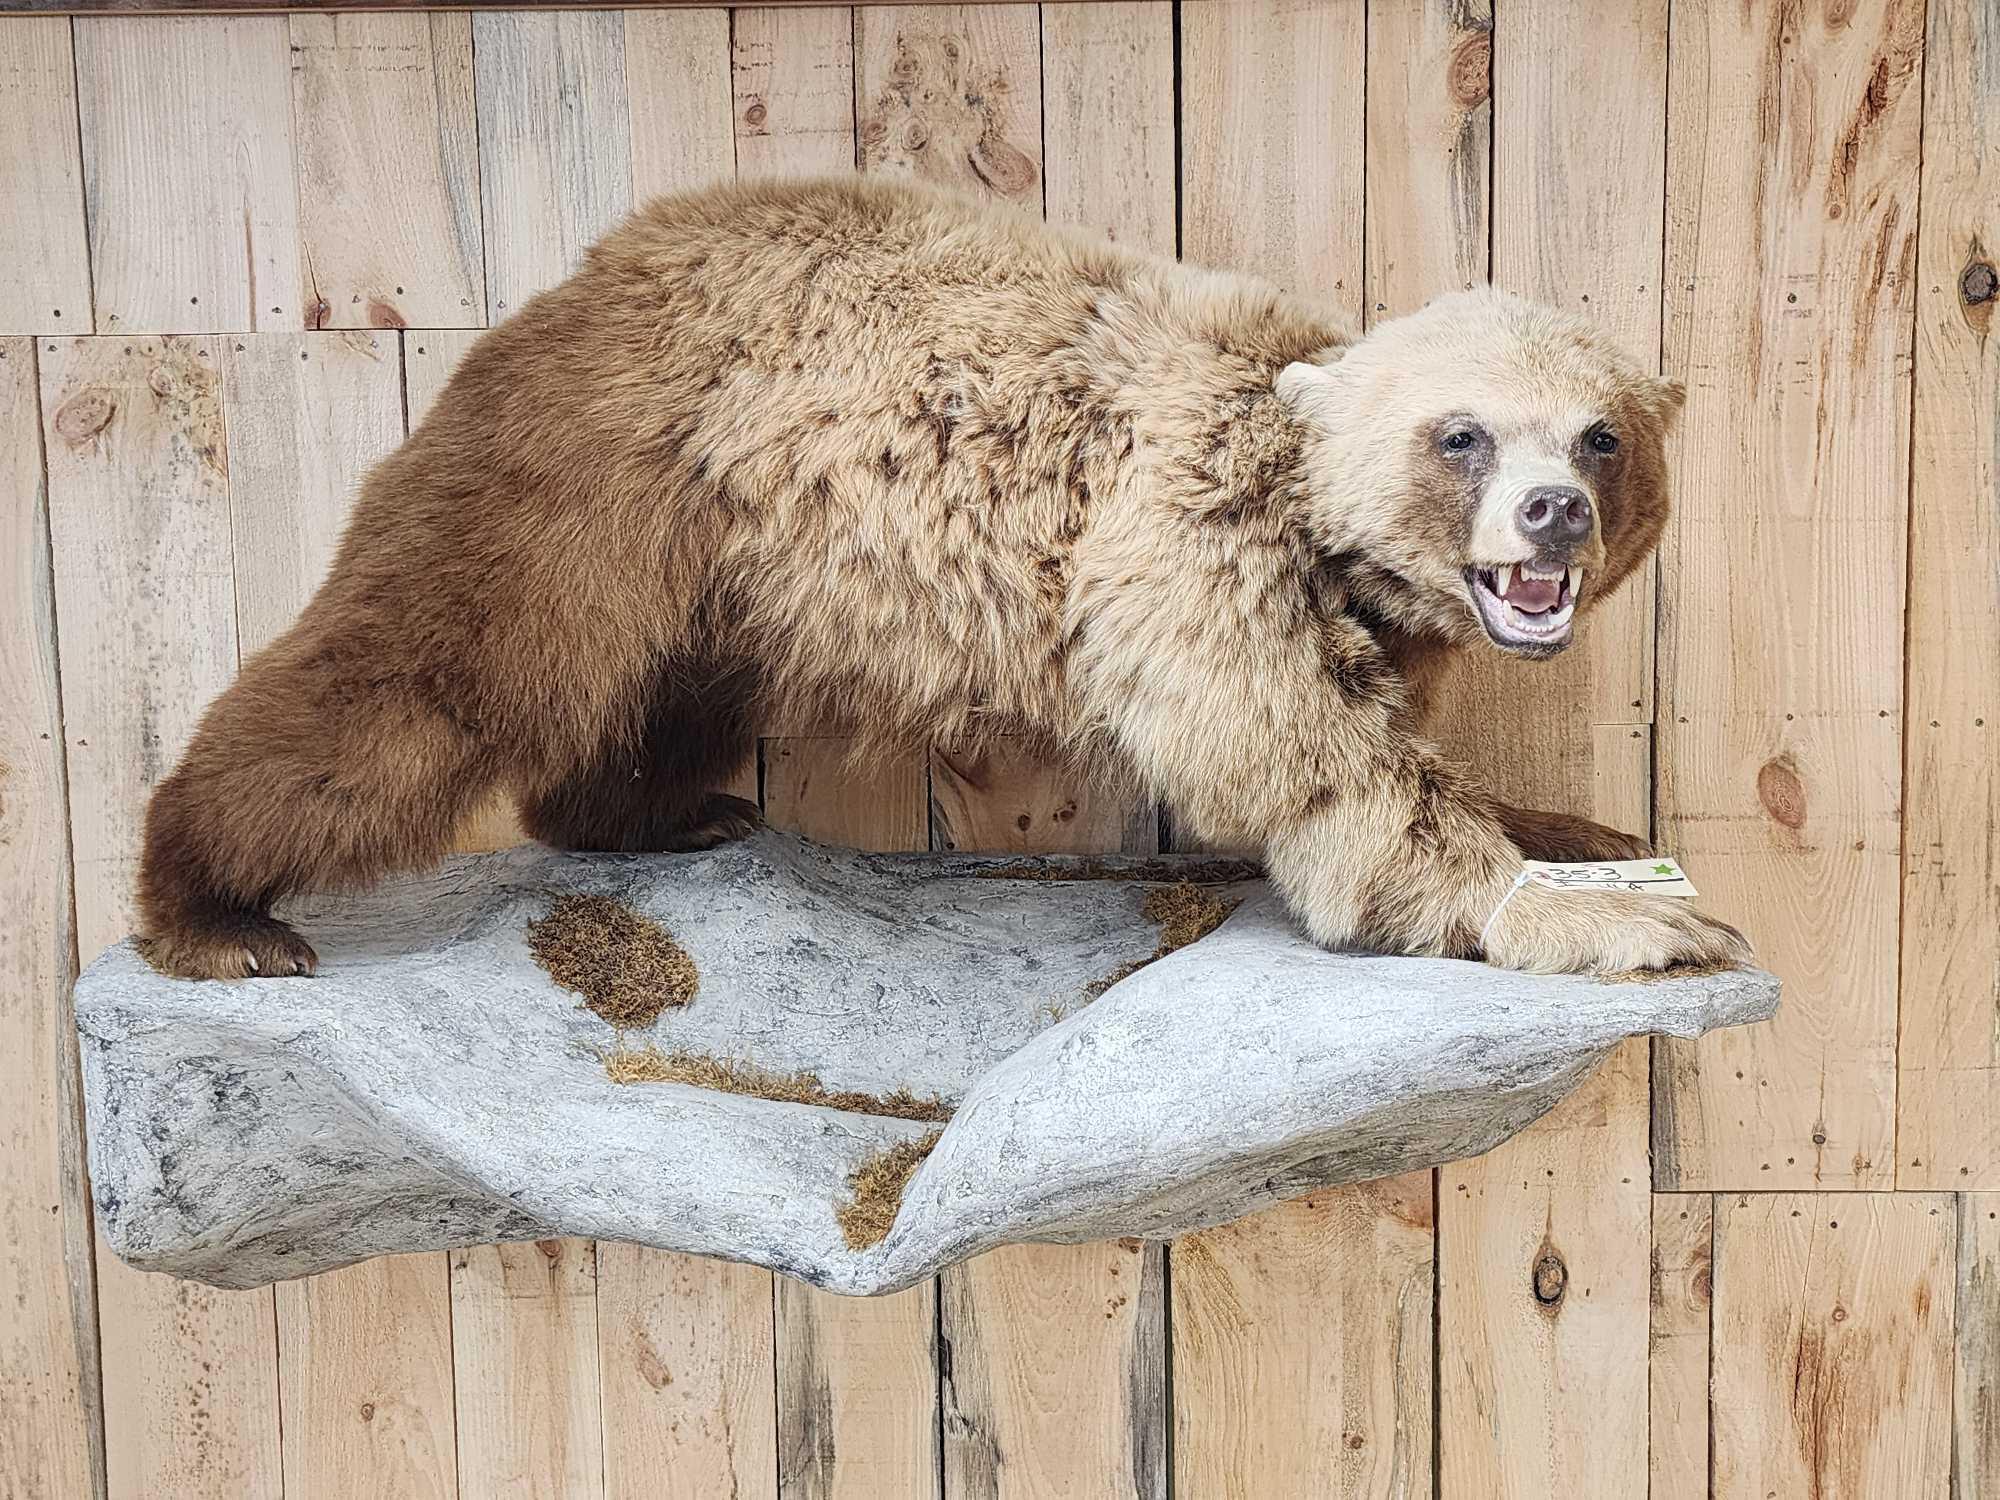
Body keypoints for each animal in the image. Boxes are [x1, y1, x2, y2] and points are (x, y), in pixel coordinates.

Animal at [134, 174, 1751, 981]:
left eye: (1601, 433)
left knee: (648, 704)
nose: (1552, 517)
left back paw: (667, 811)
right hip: (595, 479)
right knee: (411, 681)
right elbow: (1308, 764)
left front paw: (1589, 832)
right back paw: (212, 908)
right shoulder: (1184, 528)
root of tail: (574, 283)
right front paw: (1625, 919)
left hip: (724, 575)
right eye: (1461, 431)